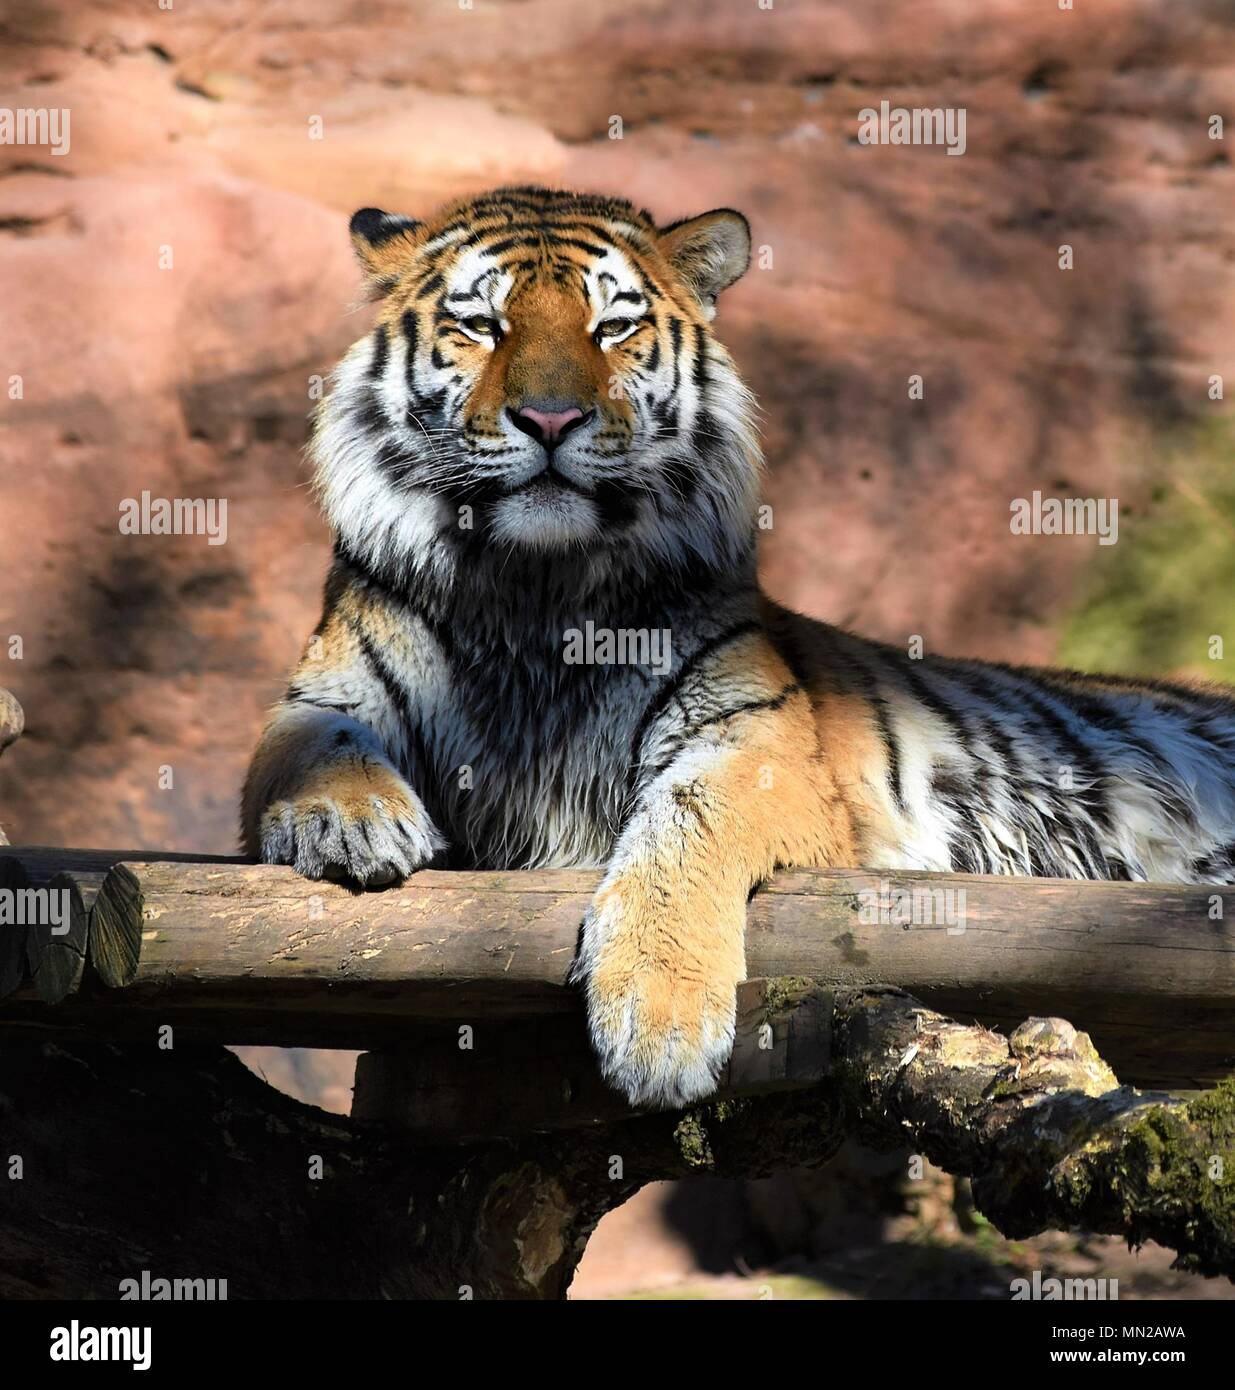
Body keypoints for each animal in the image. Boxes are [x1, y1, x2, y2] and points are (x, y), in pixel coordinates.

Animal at [242, 184, 1235, 1110]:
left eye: (613, 327)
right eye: (481, 326)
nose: (551, 419)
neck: (536, 590)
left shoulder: (755, 741)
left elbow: (686, 824)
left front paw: (658, 1025)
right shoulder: (322, 697)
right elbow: (313, 746)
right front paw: (351, 823)